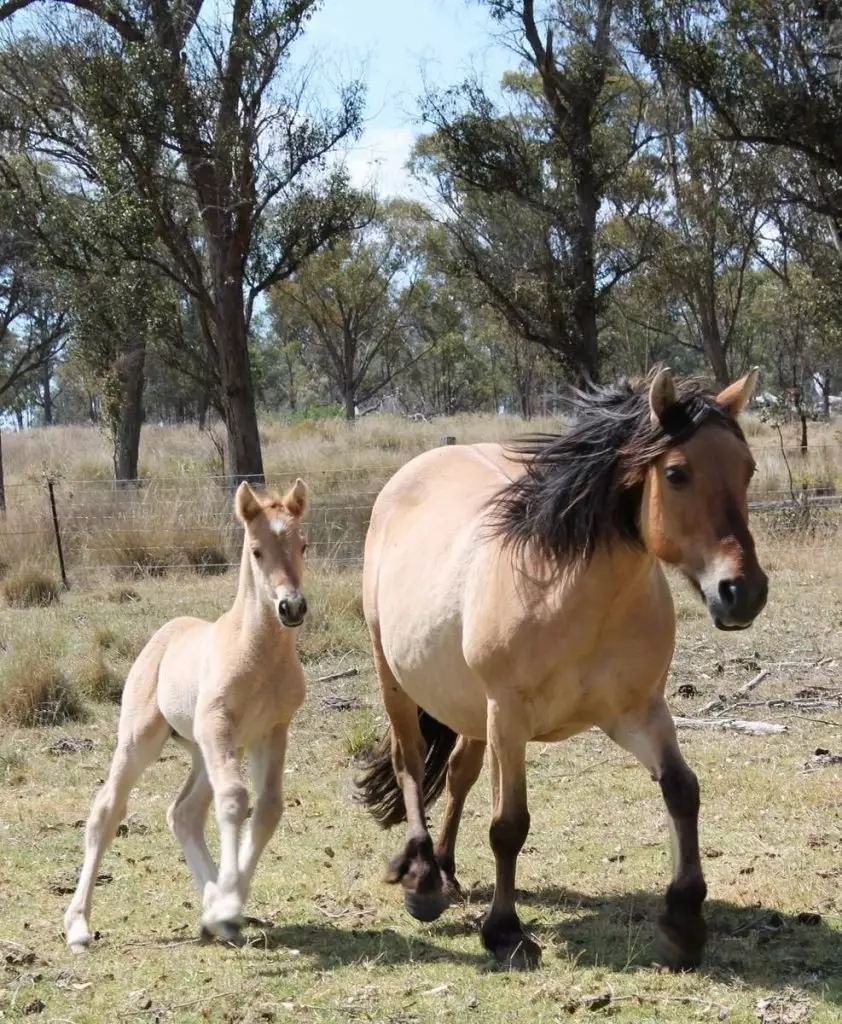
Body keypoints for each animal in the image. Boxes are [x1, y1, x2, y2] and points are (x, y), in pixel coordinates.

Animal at [65, 479, 309, 950]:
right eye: (256, 550)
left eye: (303, 544)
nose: (291, 607)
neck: (257, 654)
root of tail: (165, 631)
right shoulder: (219, 723)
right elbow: (235, 799)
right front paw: (227, 906)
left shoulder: (272, 730)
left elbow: (268, 809)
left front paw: (224, 908)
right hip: (141, 739)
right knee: (106, 811)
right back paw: (78, 926)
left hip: (201, 750)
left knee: (184, 815)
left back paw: (213, 908)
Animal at [358, 368, 766, 966]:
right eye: (676, 473)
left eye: (747, 468)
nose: (744, 593)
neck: (571, 595)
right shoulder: (509, 716)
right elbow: (509, 825)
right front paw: (505, 933)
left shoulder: (638, 712)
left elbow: (682, 789)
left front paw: (683, 921)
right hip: (398, 682)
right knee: (411, 765)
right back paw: (424, 878)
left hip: (469, 707)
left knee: (457, 774)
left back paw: (448, 870)